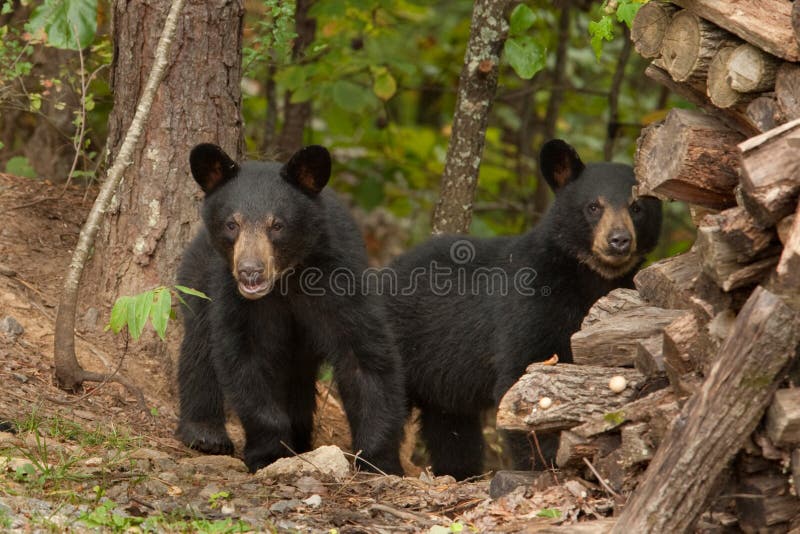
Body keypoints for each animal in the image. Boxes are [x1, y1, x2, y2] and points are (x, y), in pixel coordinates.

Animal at [176, 143, 406, 474]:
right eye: (232, 224)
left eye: (277, 225)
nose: (250, 271)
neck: (285, 281)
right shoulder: (234, 298)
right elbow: (245, 359)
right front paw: (269, 452)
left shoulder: (338, 282)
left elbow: (365, 357)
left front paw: (379, 461)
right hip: (198, 277)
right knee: (199, 346)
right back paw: (206, 434)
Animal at [385, 139, 662, 480]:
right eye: (593, 207)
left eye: (636, 208)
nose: (619, 240)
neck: (587, 277)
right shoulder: (529, 305)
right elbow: (521, 379)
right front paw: (544, 463)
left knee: (450, 424)